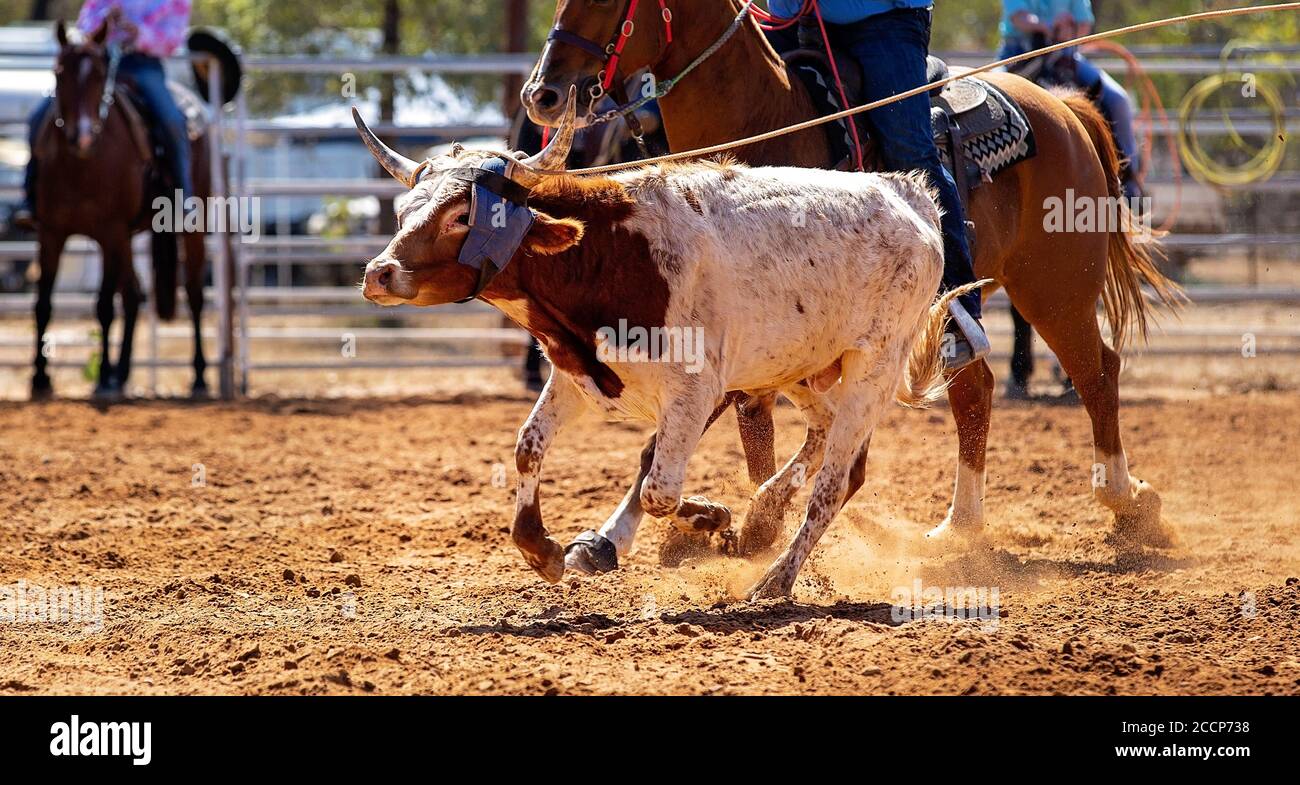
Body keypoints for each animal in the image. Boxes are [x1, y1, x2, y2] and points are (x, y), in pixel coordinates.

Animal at [352, 90, 982, 600]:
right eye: (406, 210)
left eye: (462, 213)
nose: (379, 273)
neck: (611, 253)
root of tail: (909, 195)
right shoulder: (574, 374)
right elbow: (529, 446)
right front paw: (543, 547)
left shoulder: (696, 389)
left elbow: (657, 487)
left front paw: (708, 519)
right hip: (800, 367)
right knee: (826, 435)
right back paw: (765, 511)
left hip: (874, 366)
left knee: (836, 481)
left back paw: (774, 578)